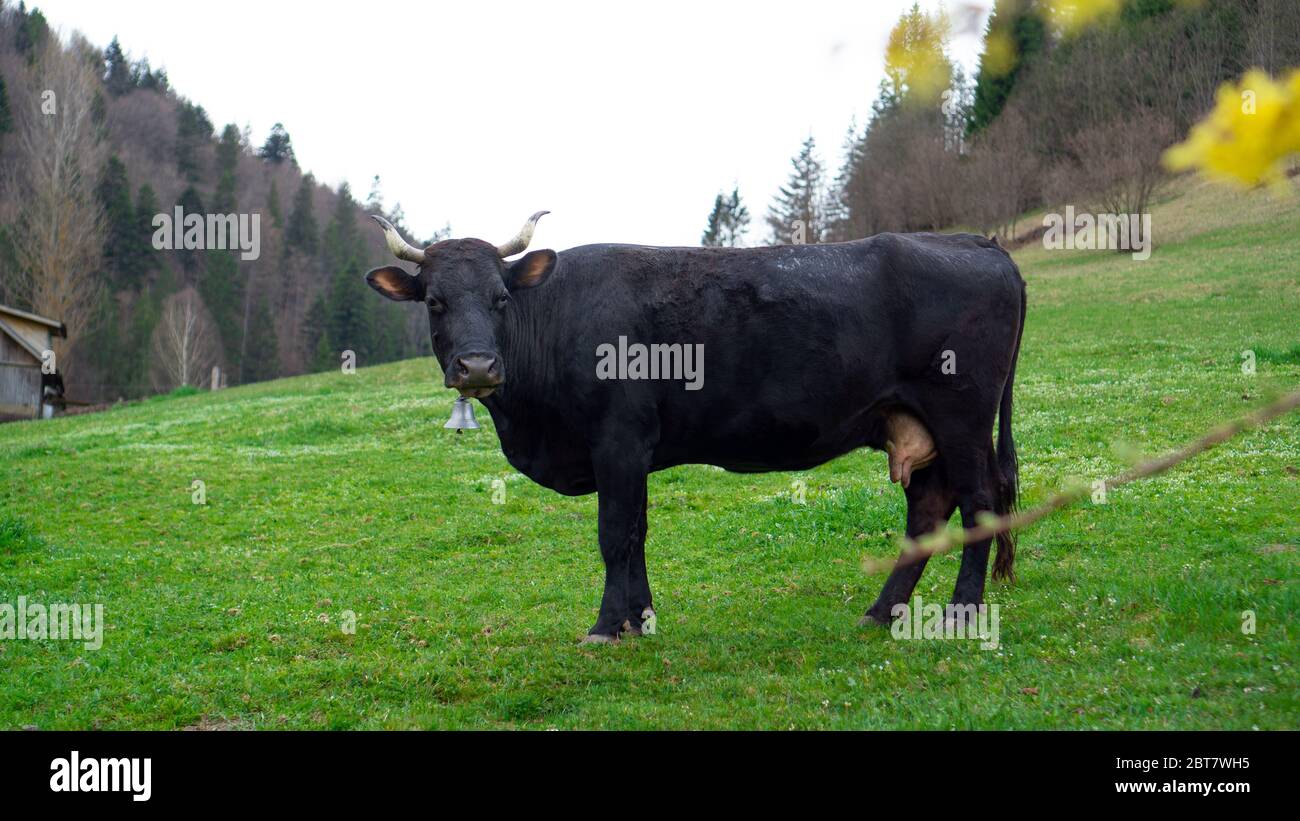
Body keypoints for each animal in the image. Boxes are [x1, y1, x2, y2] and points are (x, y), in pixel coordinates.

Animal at [365, 212, 1026, 643]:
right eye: (434, 302)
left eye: (501, 298)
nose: (477, 366)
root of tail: (976, 241)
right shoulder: (632, 452)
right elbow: (637, 533)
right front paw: (639, 620)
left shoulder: (618, 440)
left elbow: (614, 534)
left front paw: (605, 627)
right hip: (917, 424)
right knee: (929, 510)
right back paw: (881, 611)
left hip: (963, 416)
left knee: (979, 503)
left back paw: (961, 613)